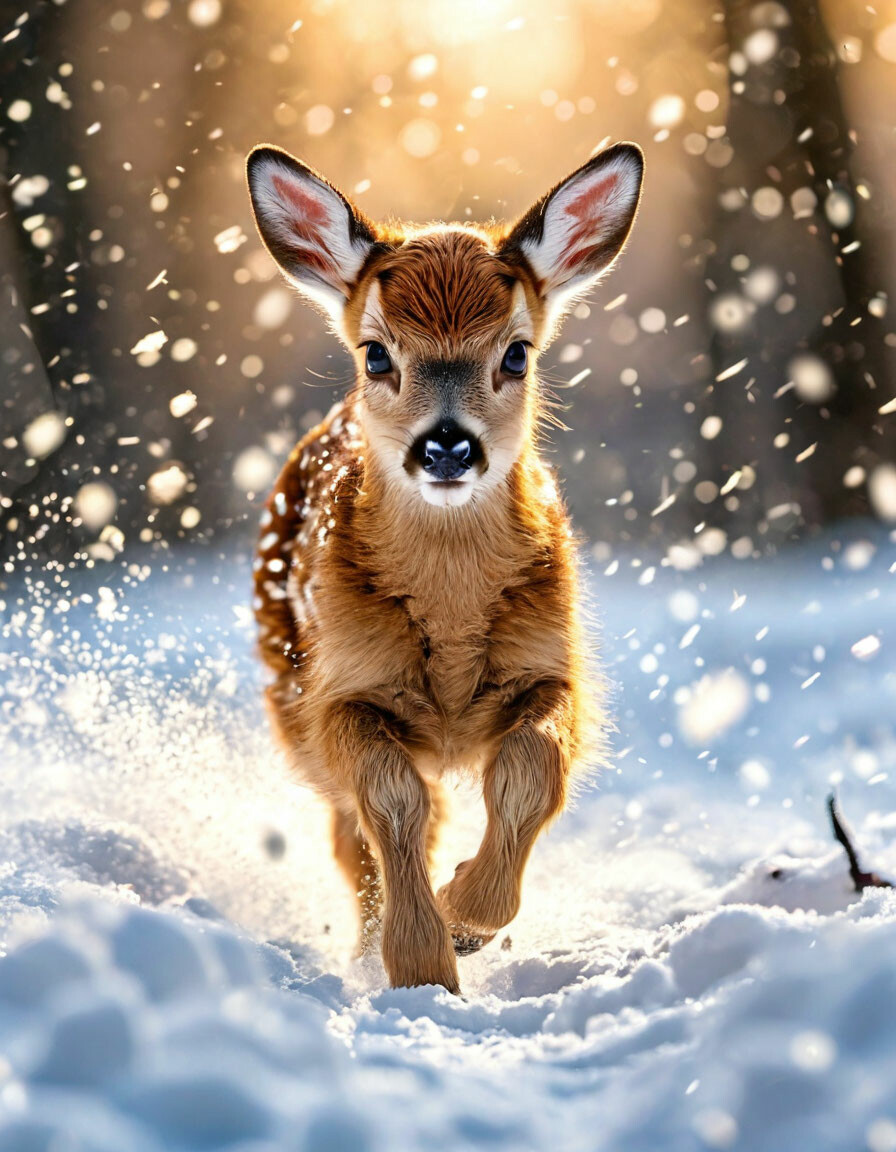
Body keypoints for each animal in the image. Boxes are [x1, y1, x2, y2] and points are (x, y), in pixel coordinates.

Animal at [246, 140, 644, 994]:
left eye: (517, 353)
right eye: (376, 353)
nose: (448, 447)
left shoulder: (552, 667)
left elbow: (532, 770)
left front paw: (468, 915)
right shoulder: (341, 689)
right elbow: (393, 804)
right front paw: (421, 965)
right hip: (289, 695)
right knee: (352, 838)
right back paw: (367, 946)